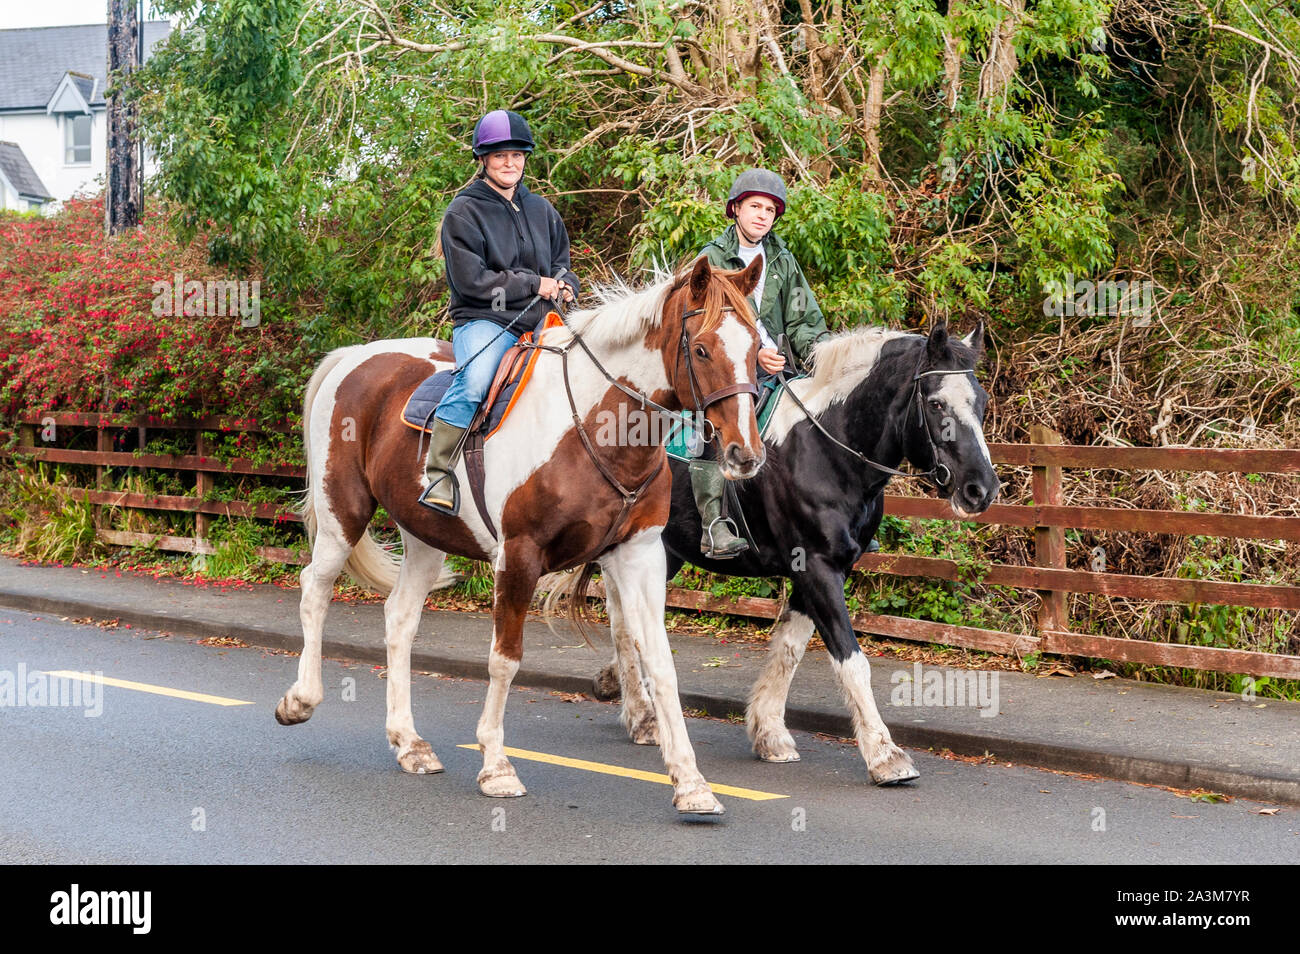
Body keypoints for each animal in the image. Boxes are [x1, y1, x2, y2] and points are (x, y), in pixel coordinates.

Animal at [275, 256, 766, 815]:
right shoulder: (519, 556)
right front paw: (496, 766)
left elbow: (660, 664)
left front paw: (691, 782)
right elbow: (505, 661)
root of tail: (353, 356)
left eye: (755, 346)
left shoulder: (638, 556)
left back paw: (409, 742)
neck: (591, 429)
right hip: (343, 514)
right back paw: (301, 699)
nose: (744, 454)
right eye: (701, 348)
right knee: (315, 589)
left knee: (399, 618)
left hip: (424, 536)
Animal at [591, 321, 999, 785]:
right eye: (935, 403)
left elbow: (790, 649)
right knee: (624, 626)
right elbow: (851, 660)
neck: (829, 450)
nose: (981, 489)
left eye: (981, 402)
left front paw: (769, 733)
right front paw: (885, 755)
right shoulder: (817, 568)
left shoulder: (822, 569)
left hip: (664, 551)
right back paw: (642, 716)